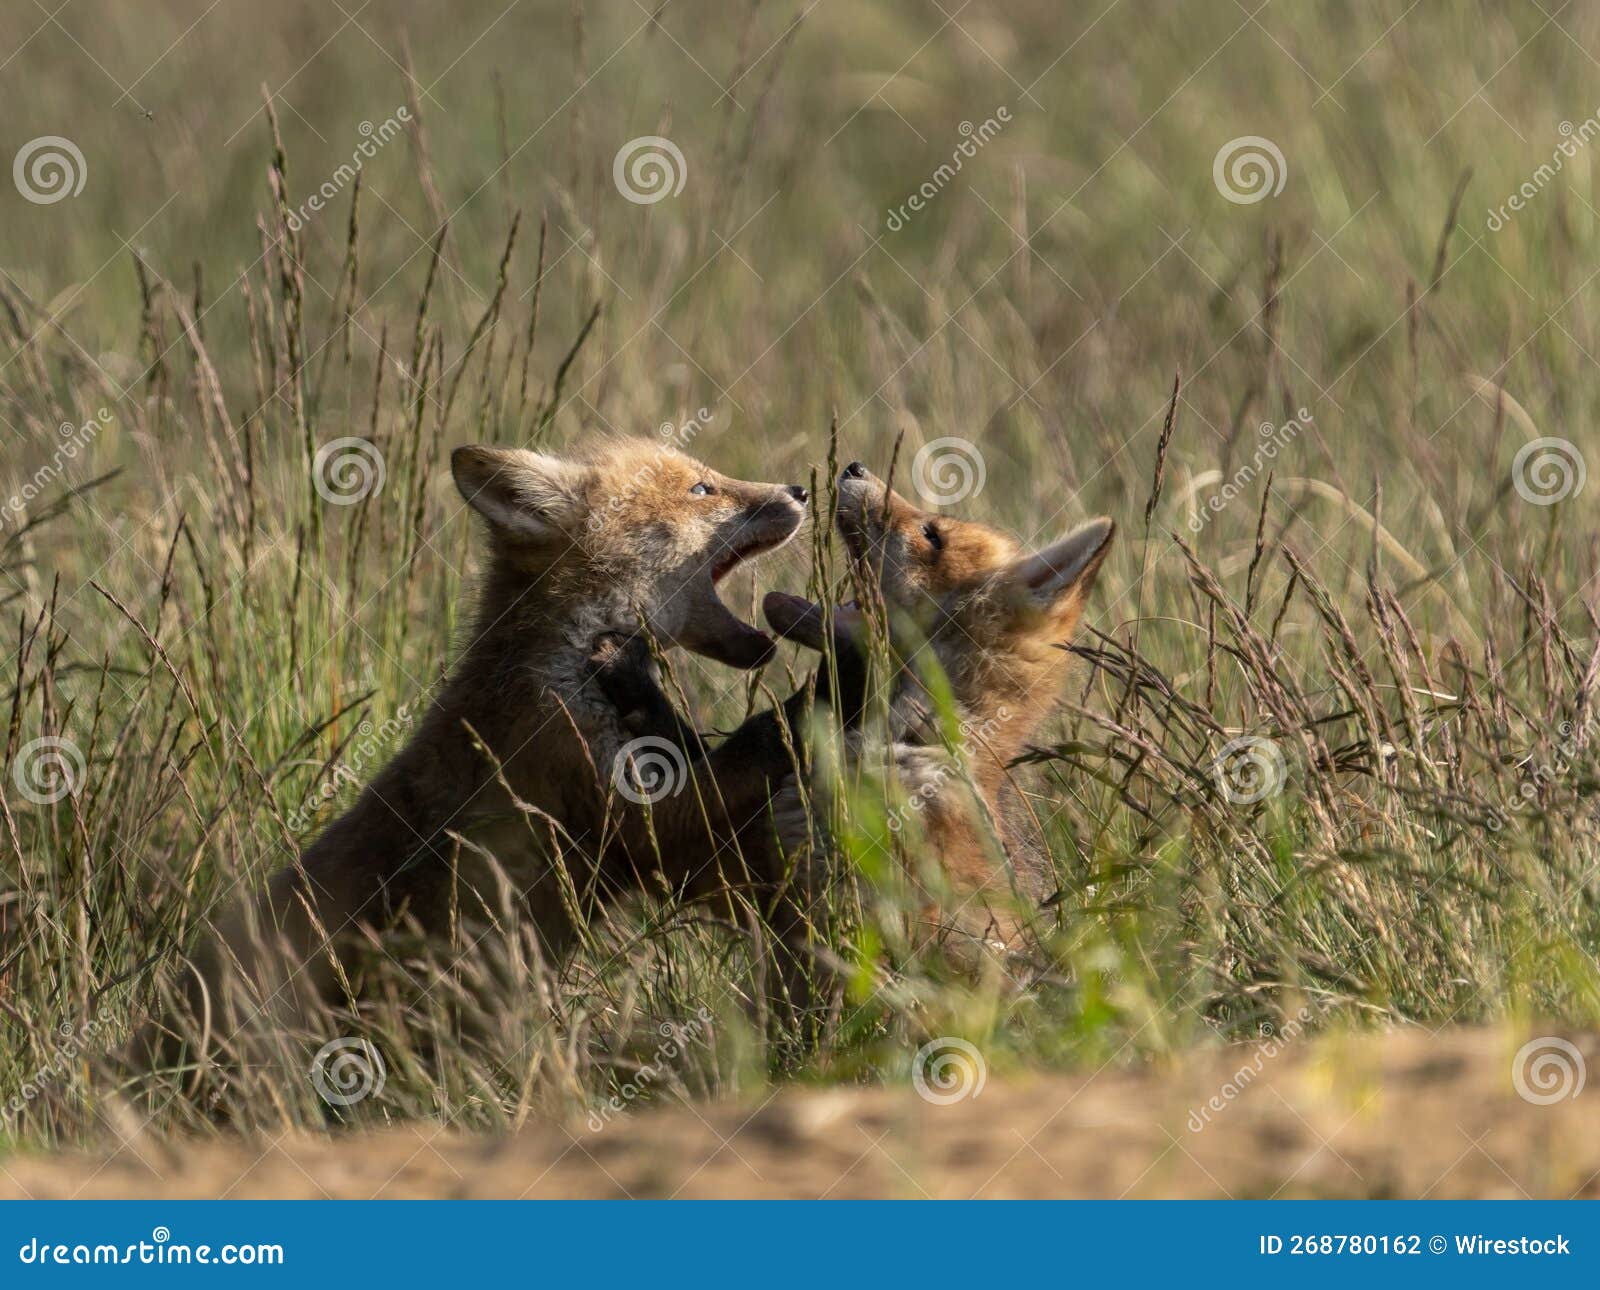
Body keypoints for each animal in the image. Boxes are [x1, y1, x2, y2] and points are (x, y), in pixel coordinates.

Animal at [138, 438, 813, 1071]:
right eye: (703, 489)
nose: (802, 489)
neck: (564, 661)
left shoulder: (674, 832)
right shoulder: (624, 801)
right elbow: (740, 756)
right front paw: (810, 702)